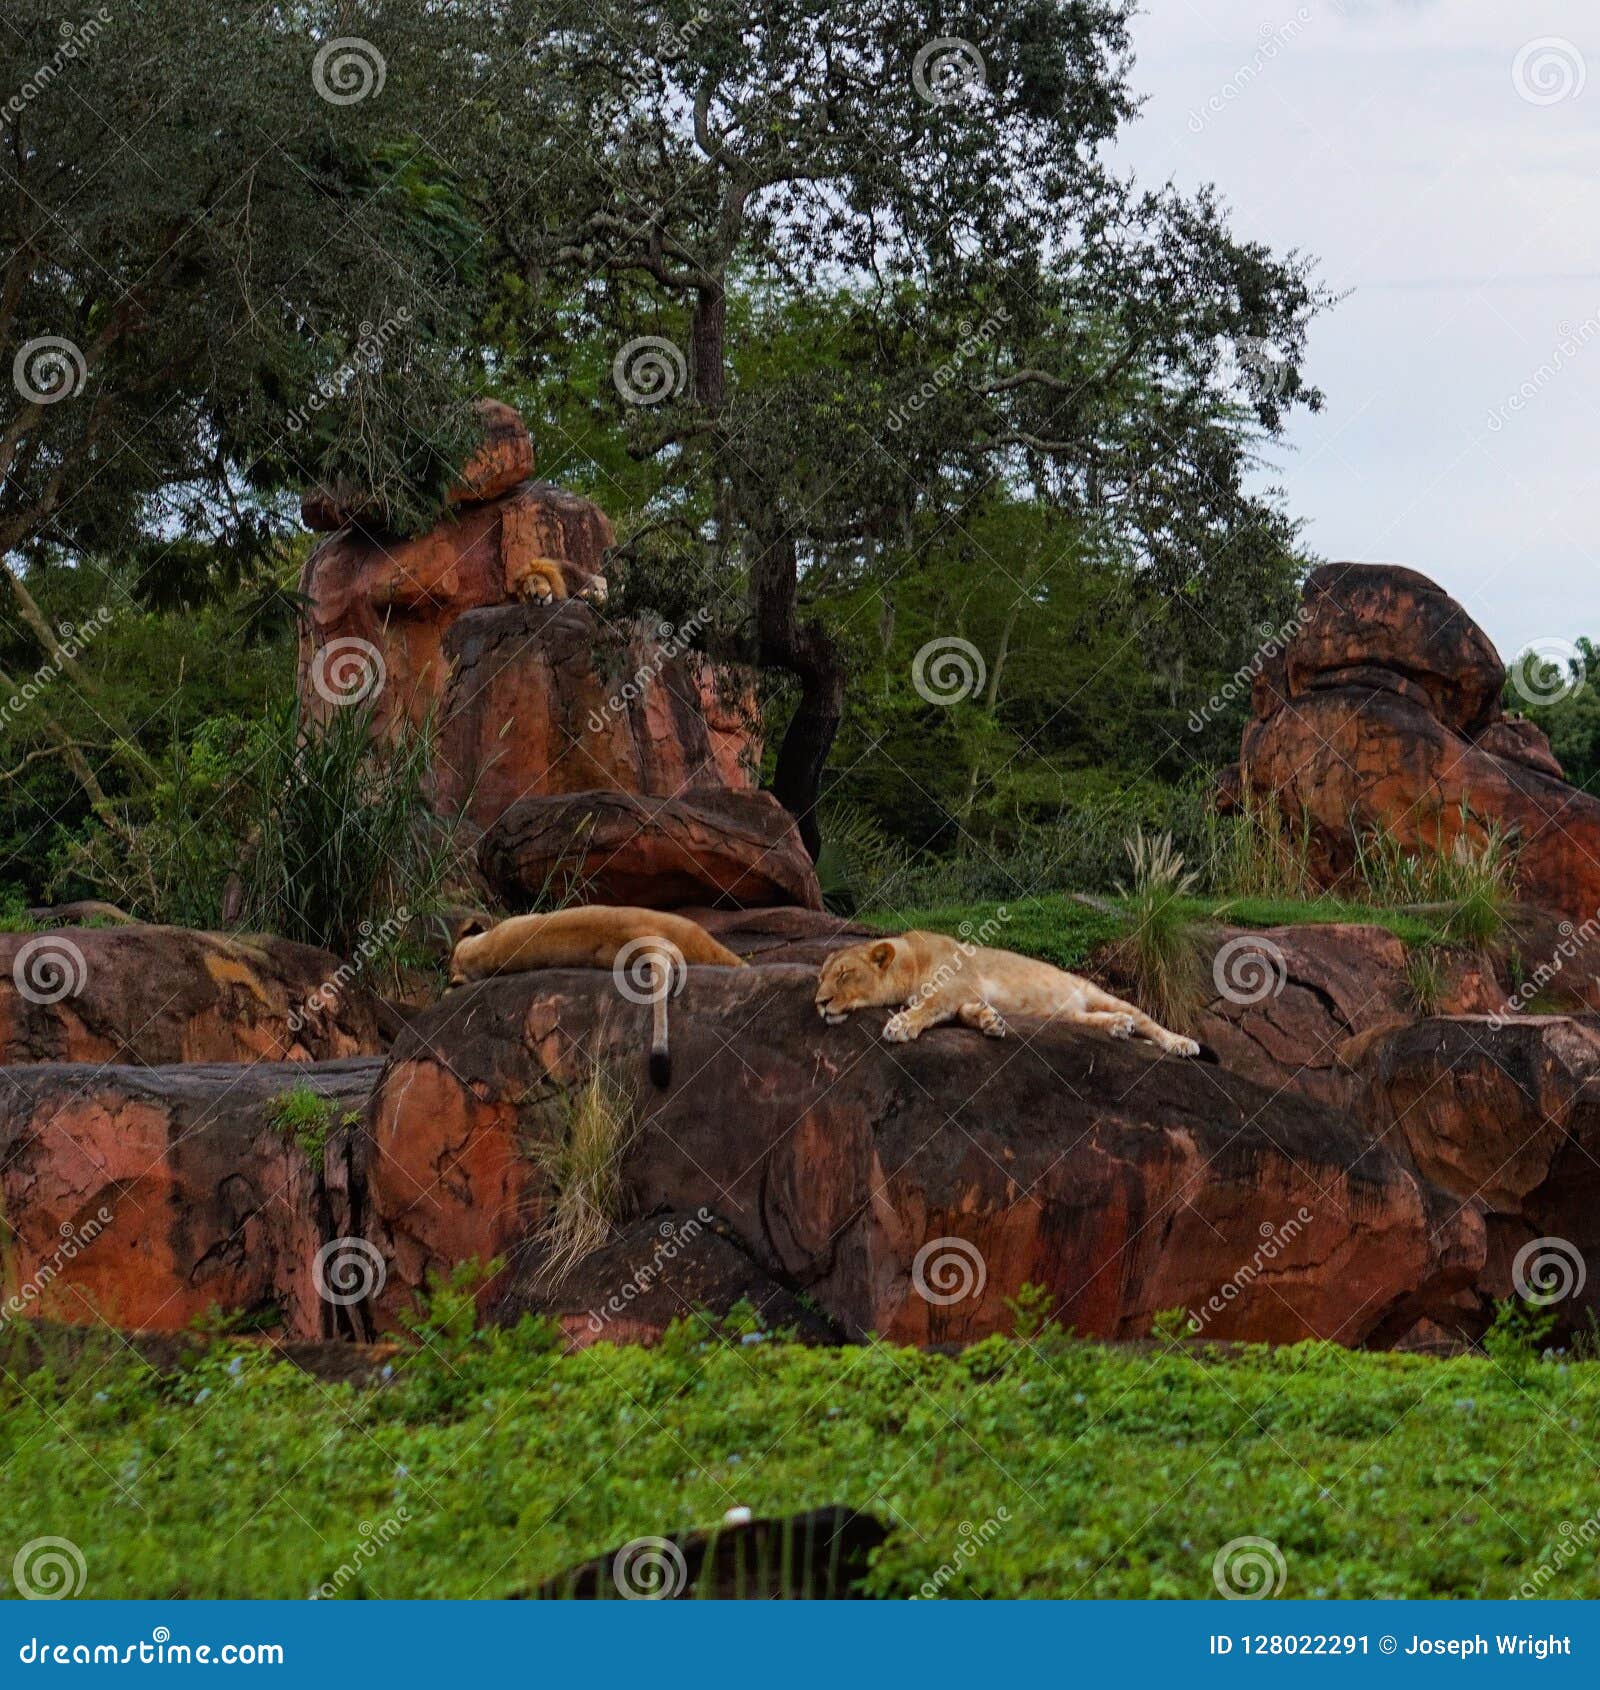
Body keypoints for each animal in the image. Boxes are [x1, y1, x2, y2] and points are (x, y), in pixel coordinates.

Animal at [813, 931, 1200, 1056]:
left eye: (844, 974)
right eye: (820, 978)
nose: (819, 1003)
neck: (910, 959)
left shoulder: (957, 983)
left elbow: (930, 1005)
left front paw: (900, 1025)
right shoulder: (965, 994)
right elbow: (964, 1012)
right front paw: (989, 1021)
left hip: (1100, 993)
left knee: (1148, 1022)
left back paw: (1180, 1043)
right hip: (1066, 1013)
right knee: (1090, 1018)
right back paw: (1117, 1026)